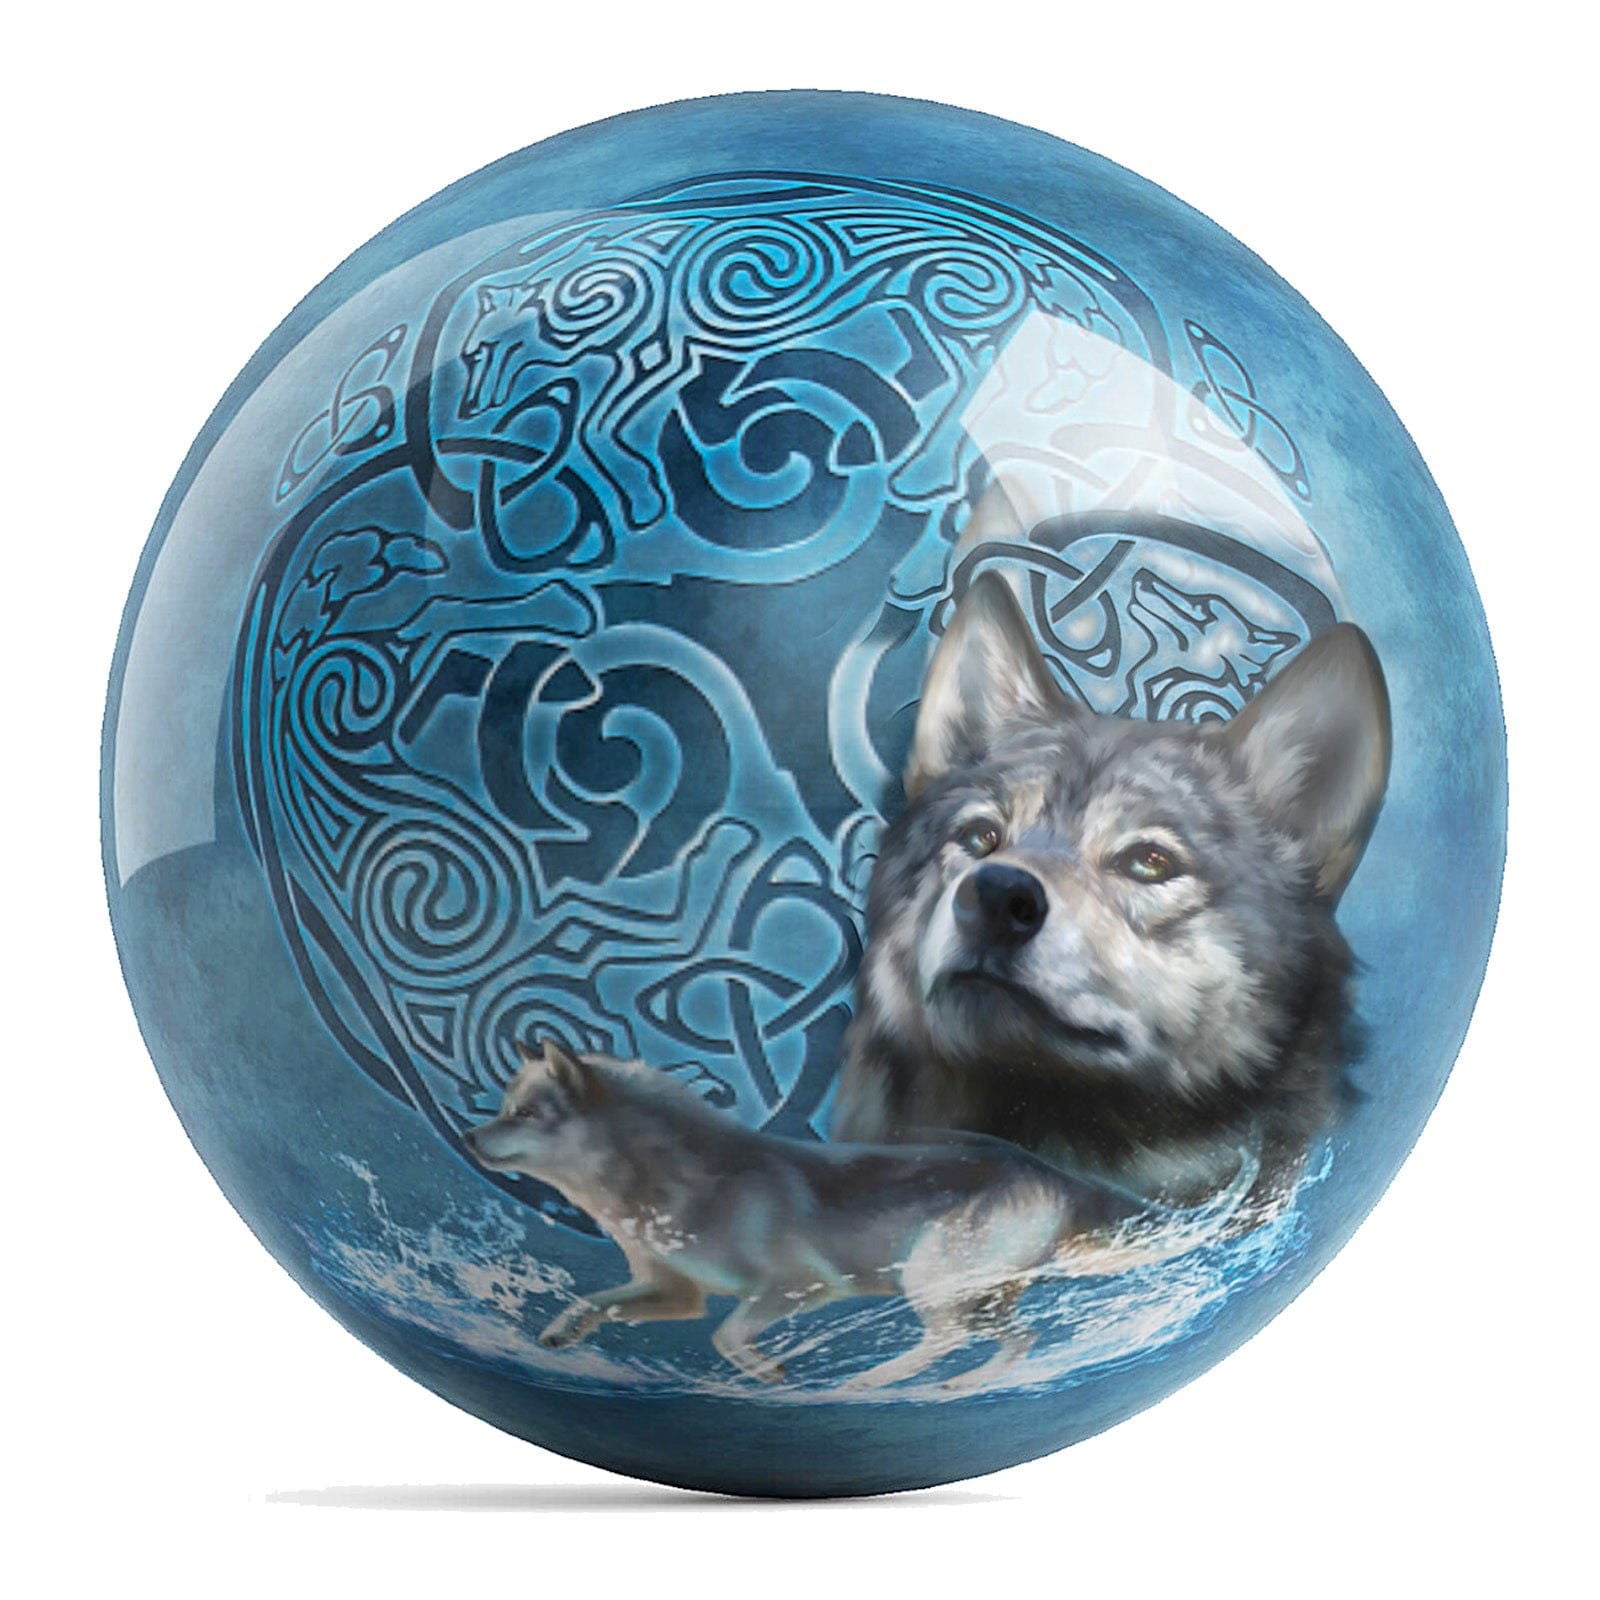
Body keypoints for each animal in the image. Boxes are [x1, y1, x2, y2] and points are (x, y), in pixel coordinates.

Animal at [466, 1041, 1228, 1388]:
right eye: (505, 1107)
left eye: (526, 1114)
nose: (471, 1141)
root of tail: (1051, 1174)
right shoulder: (675, 1292)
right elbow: (599, 1302)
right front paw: (561, 1333)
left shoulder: (795, 1290)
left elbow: (726, 1337)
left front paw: (769, 1376)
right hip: (979, 1294)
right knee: (1020, 1339)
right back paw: (956, 1386)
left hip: (930, 1280)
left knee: (950, 1336)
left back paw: (871, 1381)